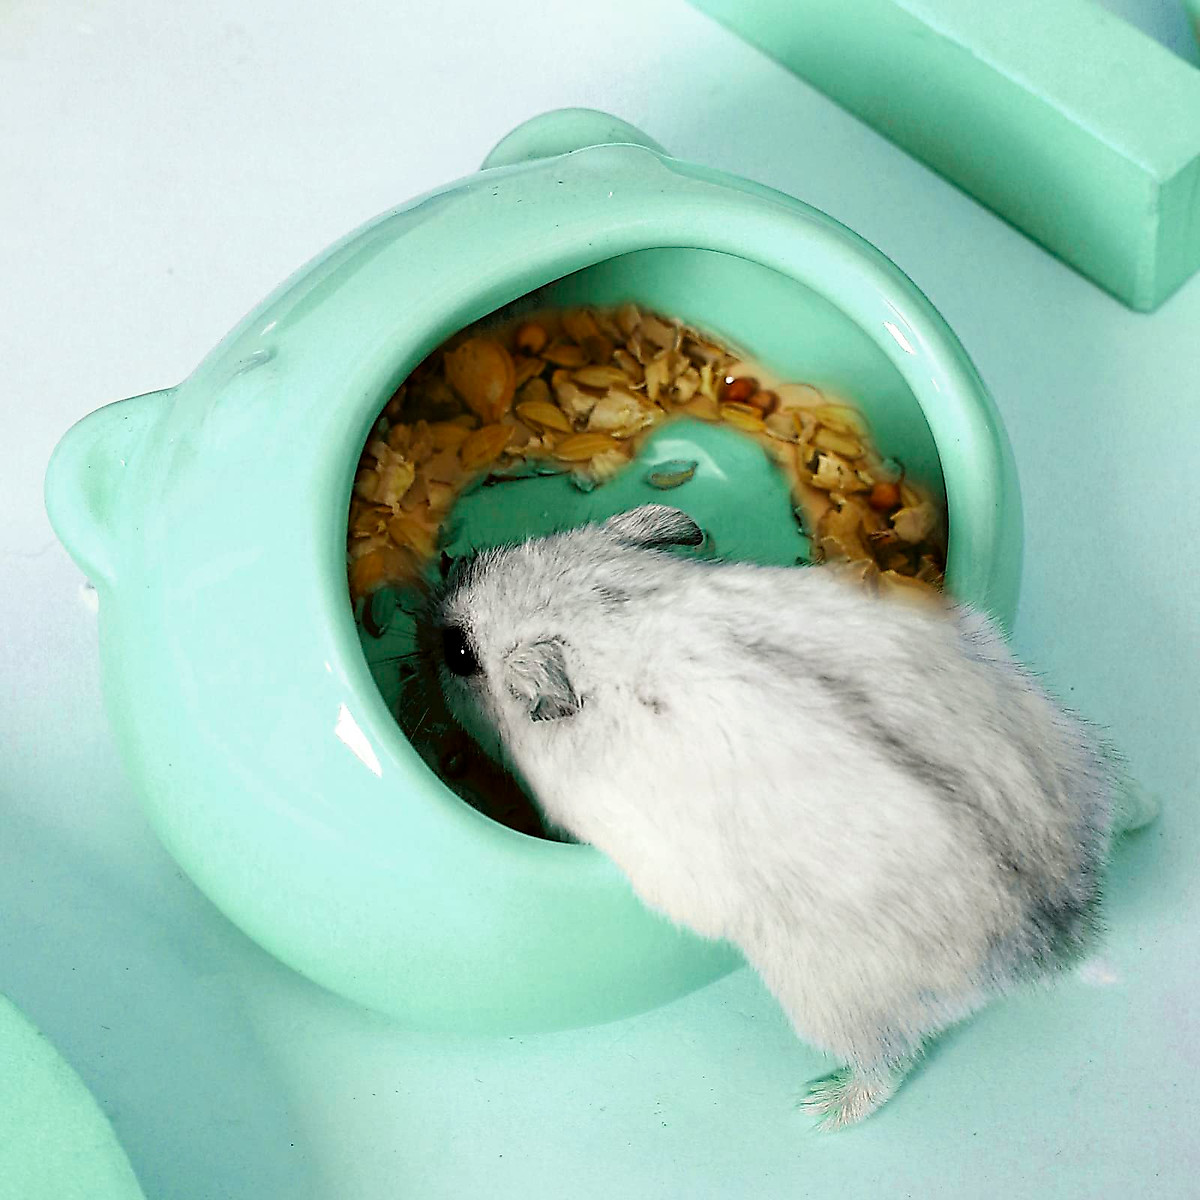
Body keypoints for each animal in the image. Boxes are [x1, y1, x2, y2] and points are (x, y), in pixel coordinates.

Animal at [419, 504, 1155, 1129]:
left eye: (459, 651)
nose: (437, 581)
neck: (608, 619)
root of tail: (1068, 929)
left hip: (828, 1000)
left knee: (890, 1062)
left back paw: (821, 1109)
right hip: (1068, 737)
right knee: (1128, 792)